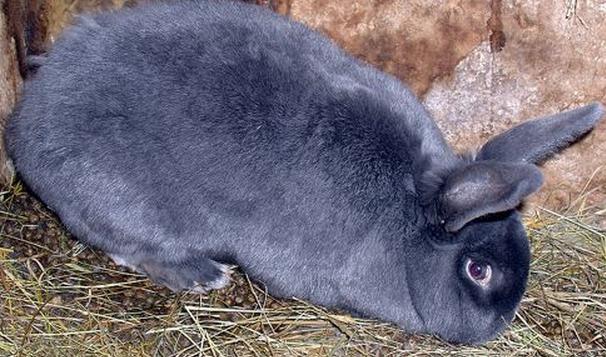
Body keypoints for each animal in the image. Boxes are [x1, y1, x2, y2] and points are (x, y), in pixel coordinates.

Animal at [4, 0, 606, 344]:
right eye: (477, 271)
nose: (501, 324)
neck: (411, 206)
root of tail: (28, 123)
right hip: (126, 203)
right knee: (124, 245)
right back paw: (203, 273)